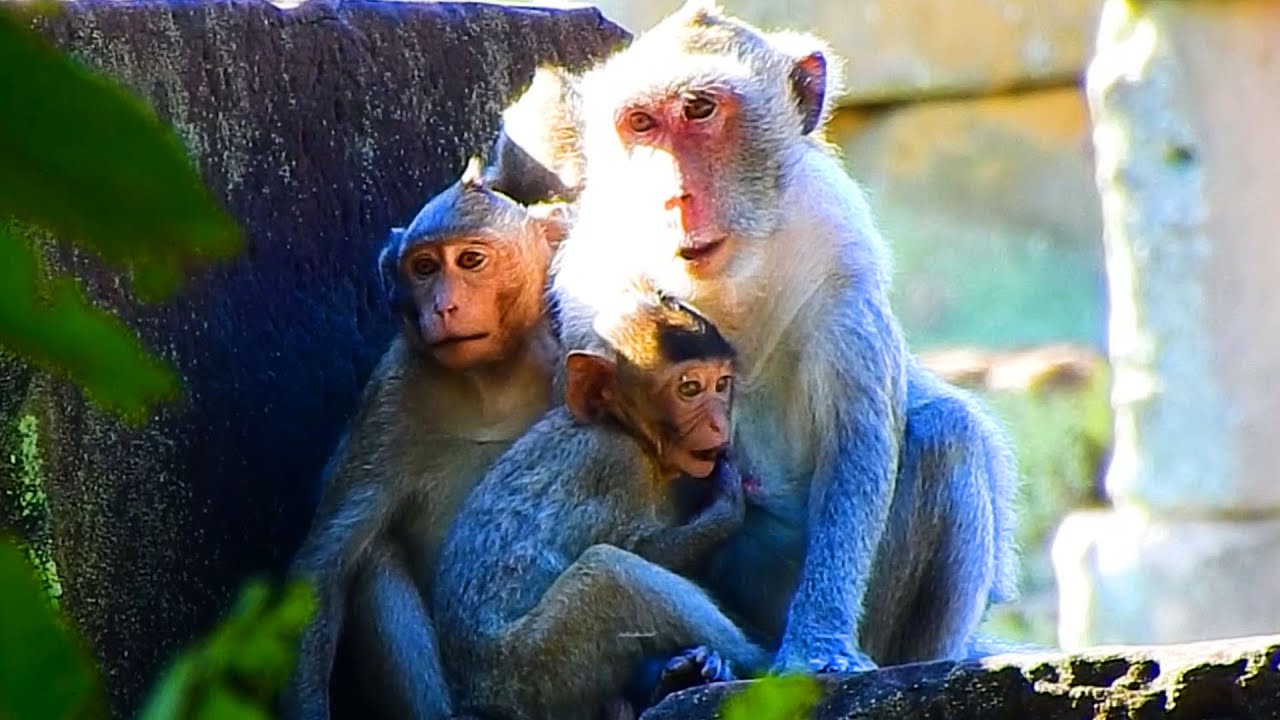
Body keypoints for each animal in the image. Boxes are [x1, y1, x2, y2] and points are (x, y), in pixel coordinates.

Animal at [280, 158, 568, 720]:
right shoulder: (389, 399)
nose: (443, 307)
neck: (491, 383)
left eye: (471, 260)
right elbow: (325, 567)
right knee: (373, 554)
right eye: (424, 268)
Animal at [432, 282, 771, 720]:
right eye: (690, 388)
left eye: (721, 383)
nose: (718, 423)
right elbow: (639, 549)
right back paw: (761, 666)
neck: (622, 426)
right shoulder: (616, 463)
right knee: (610, 572)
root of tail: (473, 700)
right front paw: (727, 505)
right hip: (532, 672)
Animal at [547, 1, 1018, 676]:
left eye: (700, 110)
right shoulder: (592, 287)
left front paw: (818, 644)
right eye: (640, 123)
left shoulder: (841, 257)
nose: (673, 197)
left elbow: (857, 440)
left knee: (946, 434)